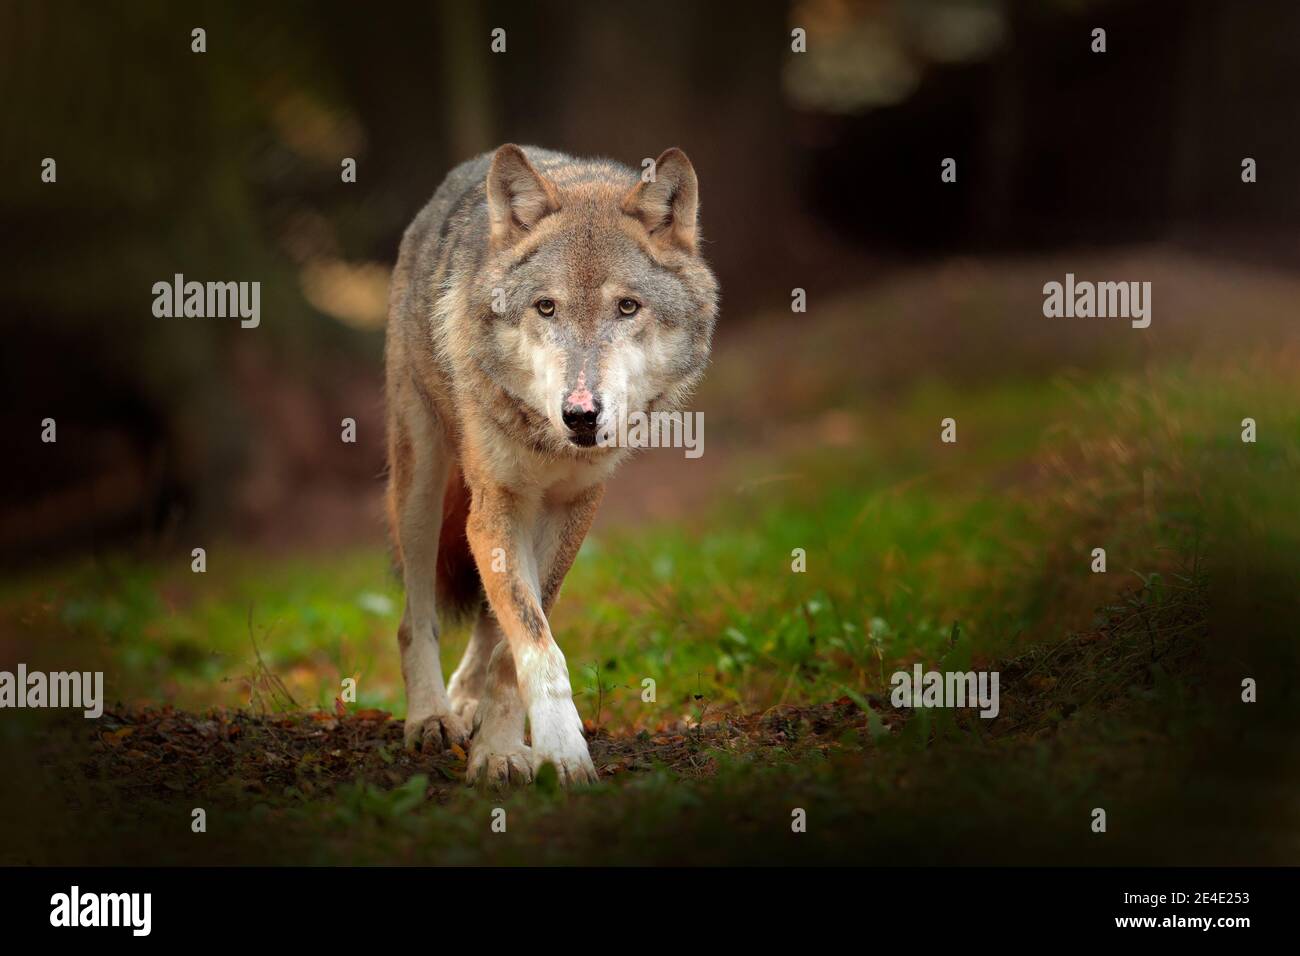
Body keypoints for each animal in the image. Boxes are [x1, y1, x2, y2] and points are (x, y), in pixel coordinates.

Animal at [384, 145, 718, 786]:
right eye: (546, 307)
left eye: (627, 307)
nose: (581, 415)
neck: (547, 442)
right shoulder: (497, 506)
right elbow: (535, 641)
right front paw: (557, 749)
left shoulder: (572, 507)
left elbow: (512, 645)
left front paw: (502, 749)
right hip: (421, 489)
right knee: (415, 618)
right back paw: (433, 716)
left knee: (487, 626)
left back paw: (467, 704)